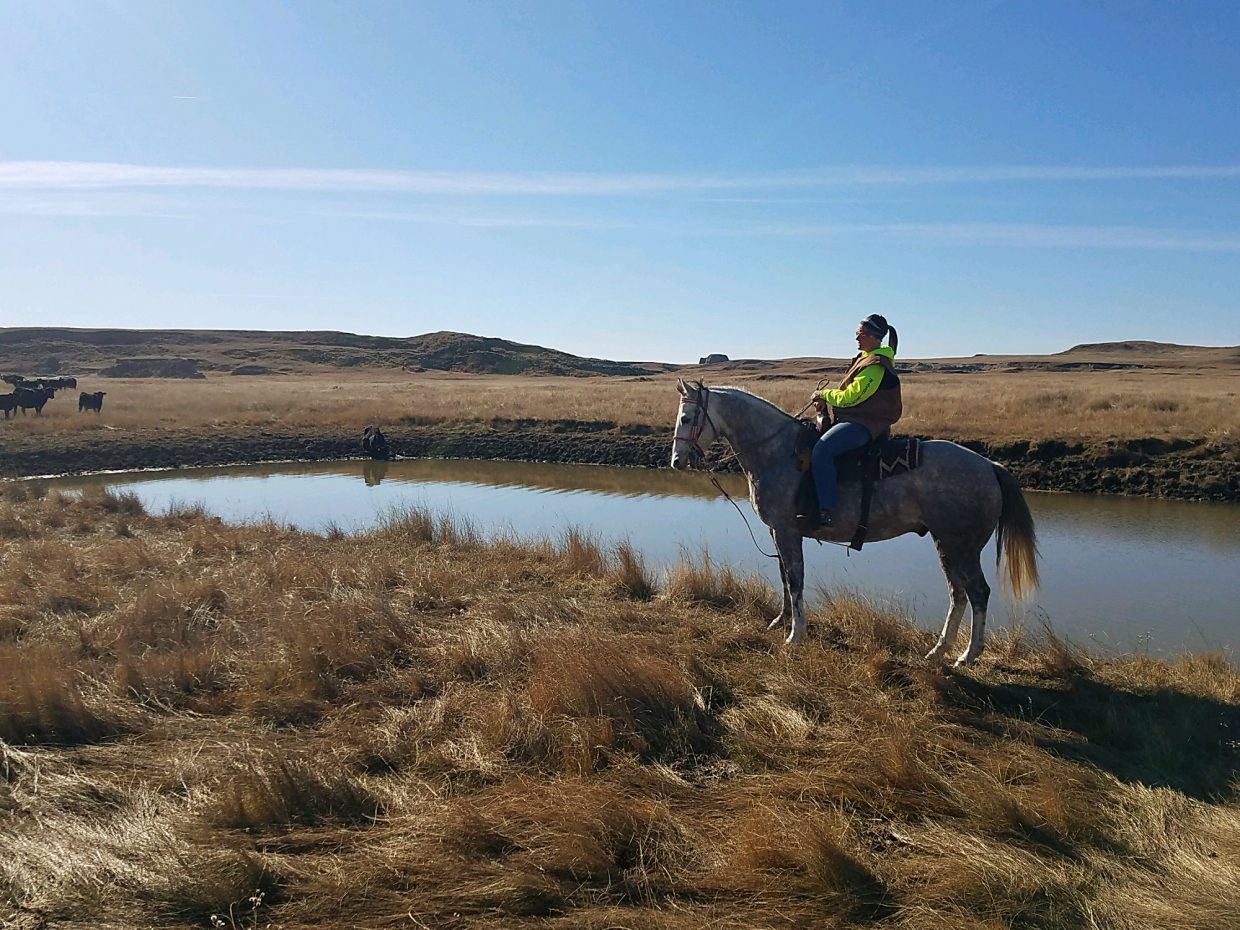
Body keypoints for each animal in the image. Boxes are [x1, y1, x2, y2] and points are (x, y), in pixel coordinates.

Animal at [669, 380, 1039, 666]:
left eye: (686, 418)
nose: (675, 461)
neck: (778, 452)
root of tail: (989, 466)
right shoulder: (778, 532)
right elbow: (785, 578)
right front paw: (780, 622)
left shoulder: (788, 532)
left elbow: (796, 580)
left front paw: (796, 635)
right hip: (945, 543)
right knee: (958, 594)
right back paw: (938, 652)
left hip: (961, 546)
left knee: (977, 593)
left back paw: (968, 655)